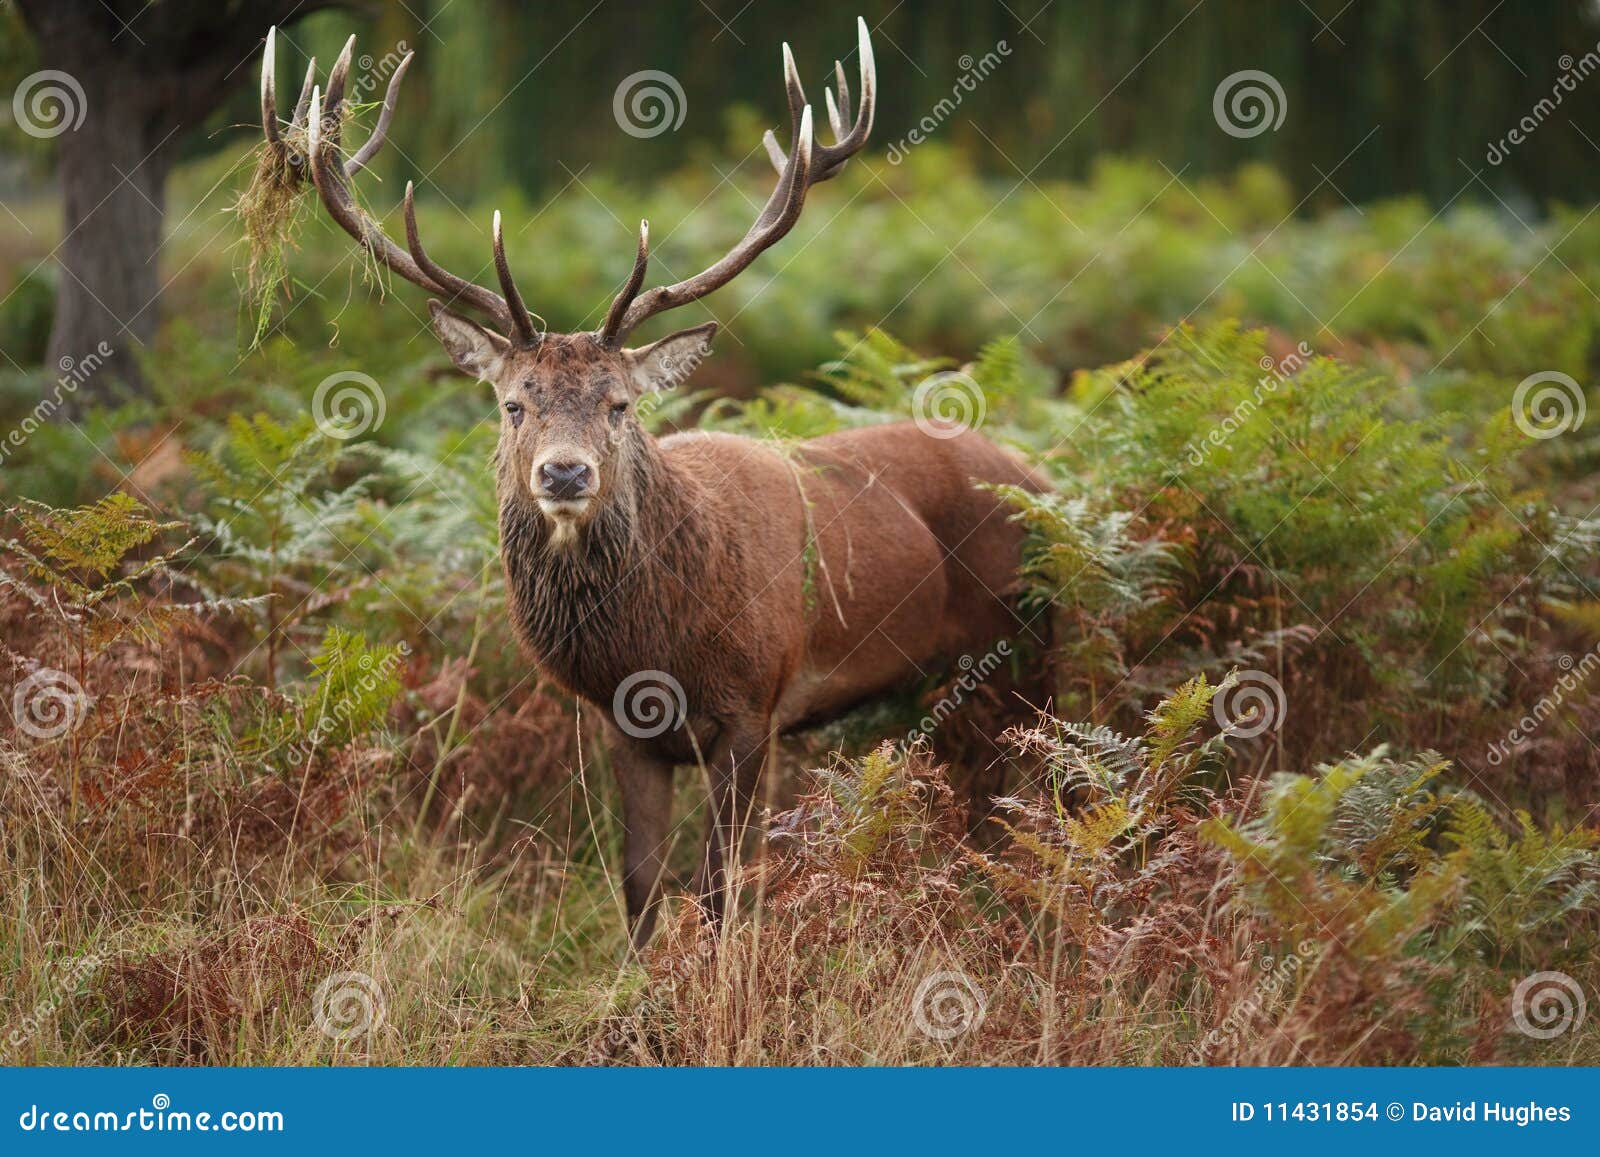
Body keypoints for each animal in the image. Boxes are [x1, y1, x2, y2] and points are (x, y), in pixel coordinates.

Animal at [259, 18, 1048, 946]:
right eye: (514, 403)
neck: (654, 646)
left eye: (621, 402)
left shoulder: (755, 704)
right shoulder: (622, 728)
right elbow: (638, 884)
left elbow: (715, 889)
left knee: (1016, 801)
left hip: (1015, 649)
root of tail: (1037, 472)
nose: (565, 471)